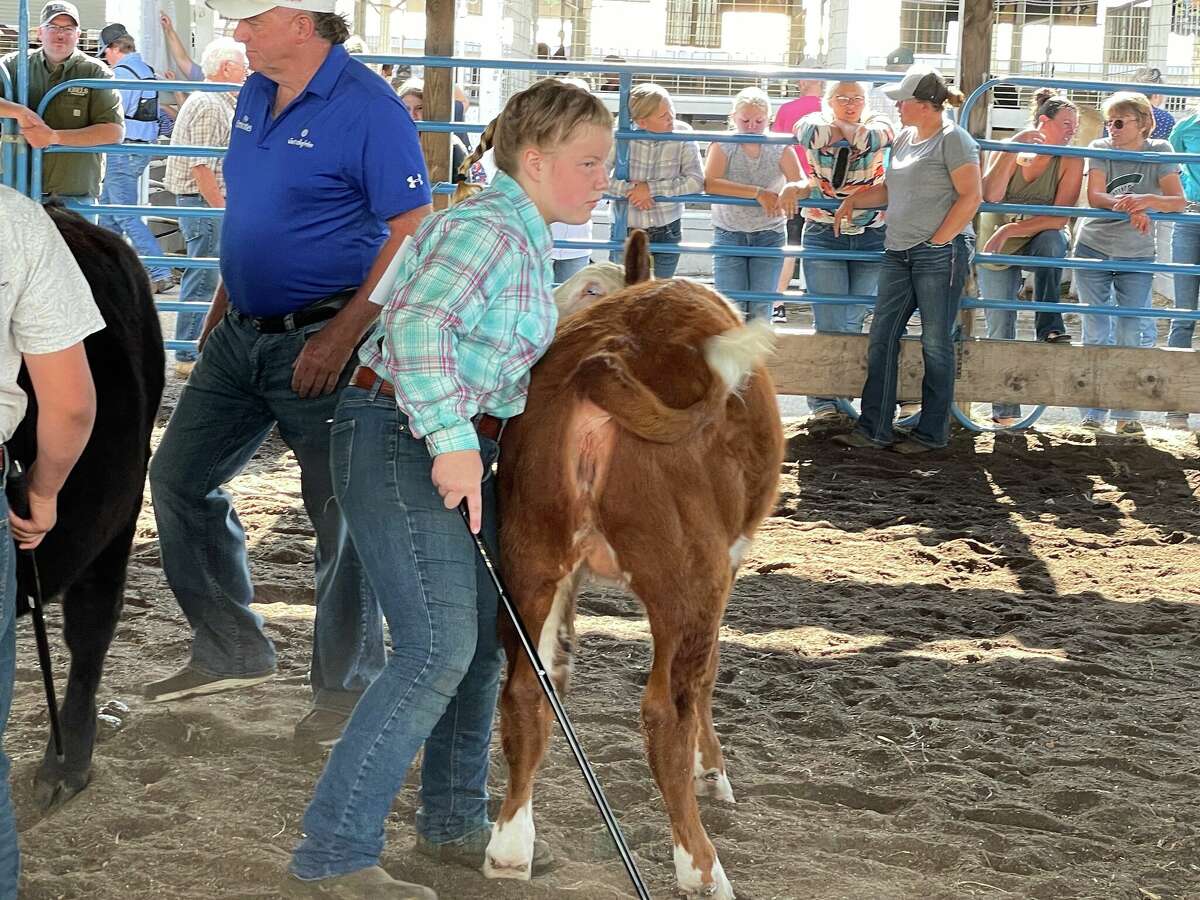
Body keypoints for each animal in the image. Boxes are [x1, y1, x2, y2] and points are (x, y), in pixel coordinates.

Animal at [483, 232, 784, 899]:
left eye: (586, 286)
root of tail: (607, 353)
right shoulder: (727, 566)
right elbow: (706, 680)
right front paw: (711, 772)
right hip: (689, 581)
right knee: (665, 712)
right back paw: (702, 867)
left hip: (530, 555)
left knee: (523, 692)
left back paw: (511, 844)